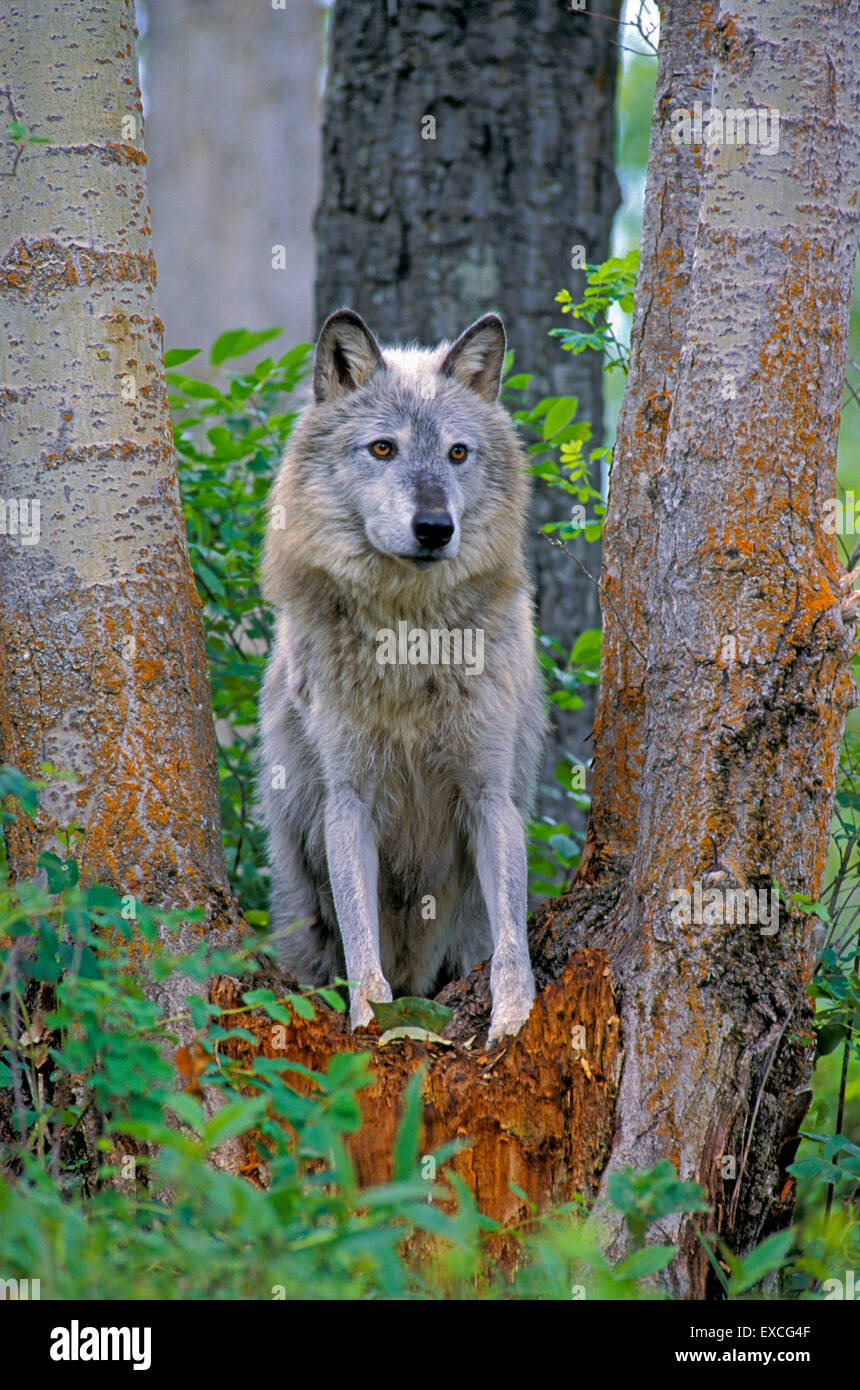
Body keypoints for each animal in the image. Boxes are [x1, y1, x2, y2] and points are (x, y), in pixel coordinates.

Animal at [258, 309, 546, 1041]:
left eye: (457, 453)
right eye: (383, 449)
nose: (434, 527)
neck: (409, 643)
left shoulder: (490, 795)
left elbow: (512, 940)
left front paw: (511, 1023)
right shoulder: (348, 801)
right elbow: (362, 939)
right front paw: (370, 1020)